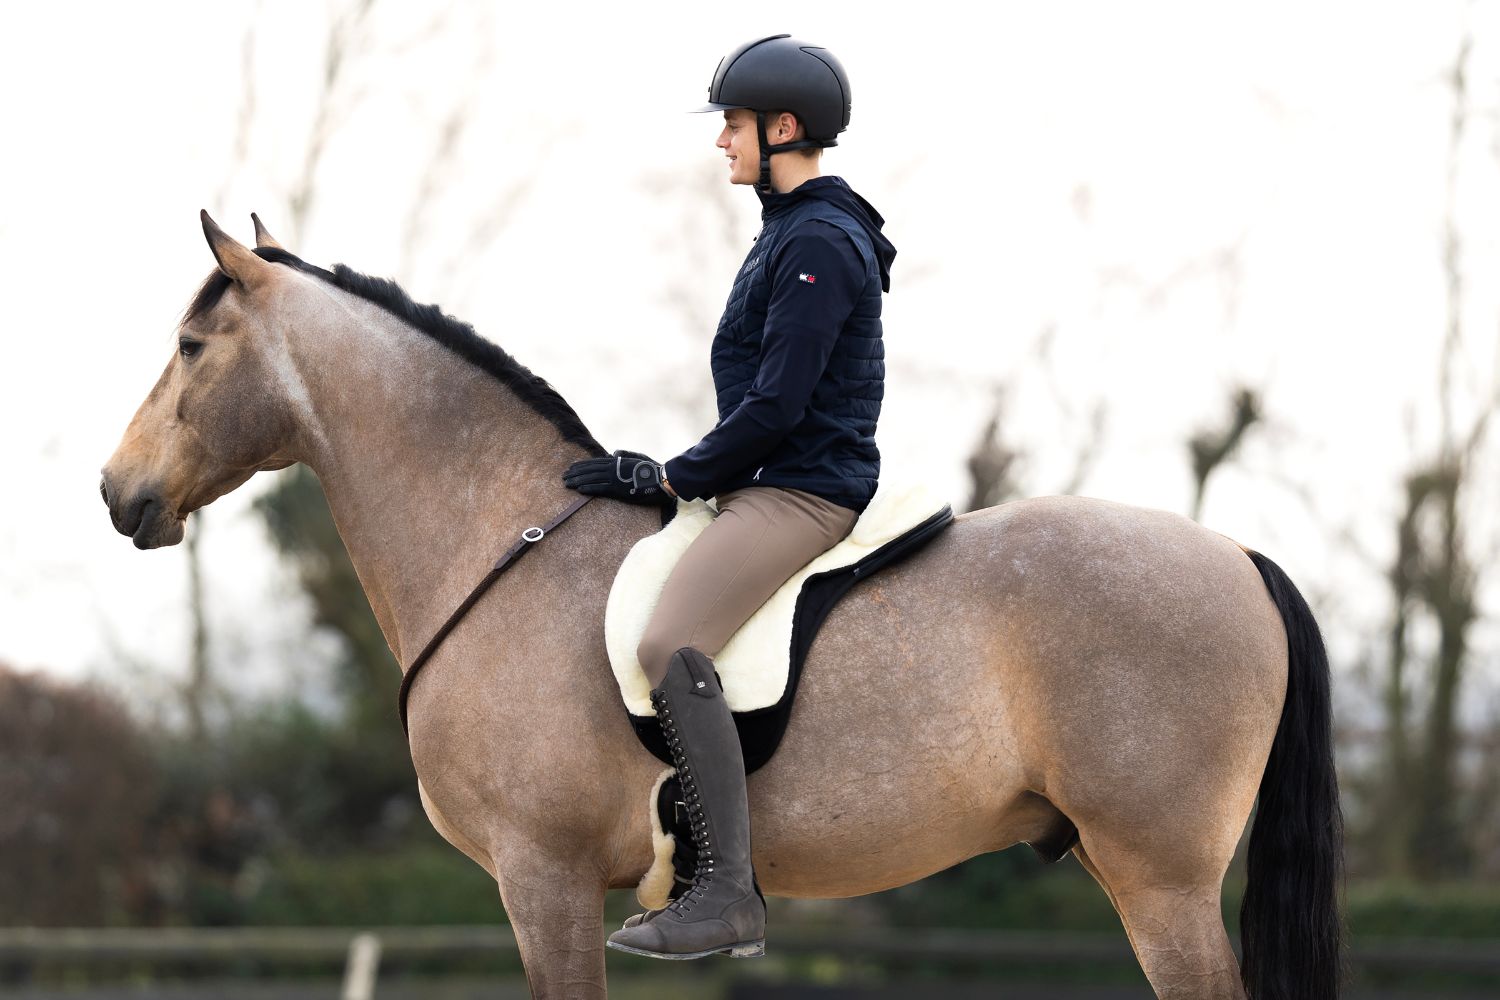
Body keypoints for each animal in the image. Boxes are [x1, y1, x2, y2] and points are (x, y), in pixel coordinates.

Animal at [100, 213, 1343, 999]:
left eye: (190, 346)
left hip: (1161, 879)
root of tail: (1239, 556)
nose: (119, 494)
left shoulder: (544, 880)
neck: (502, 534)